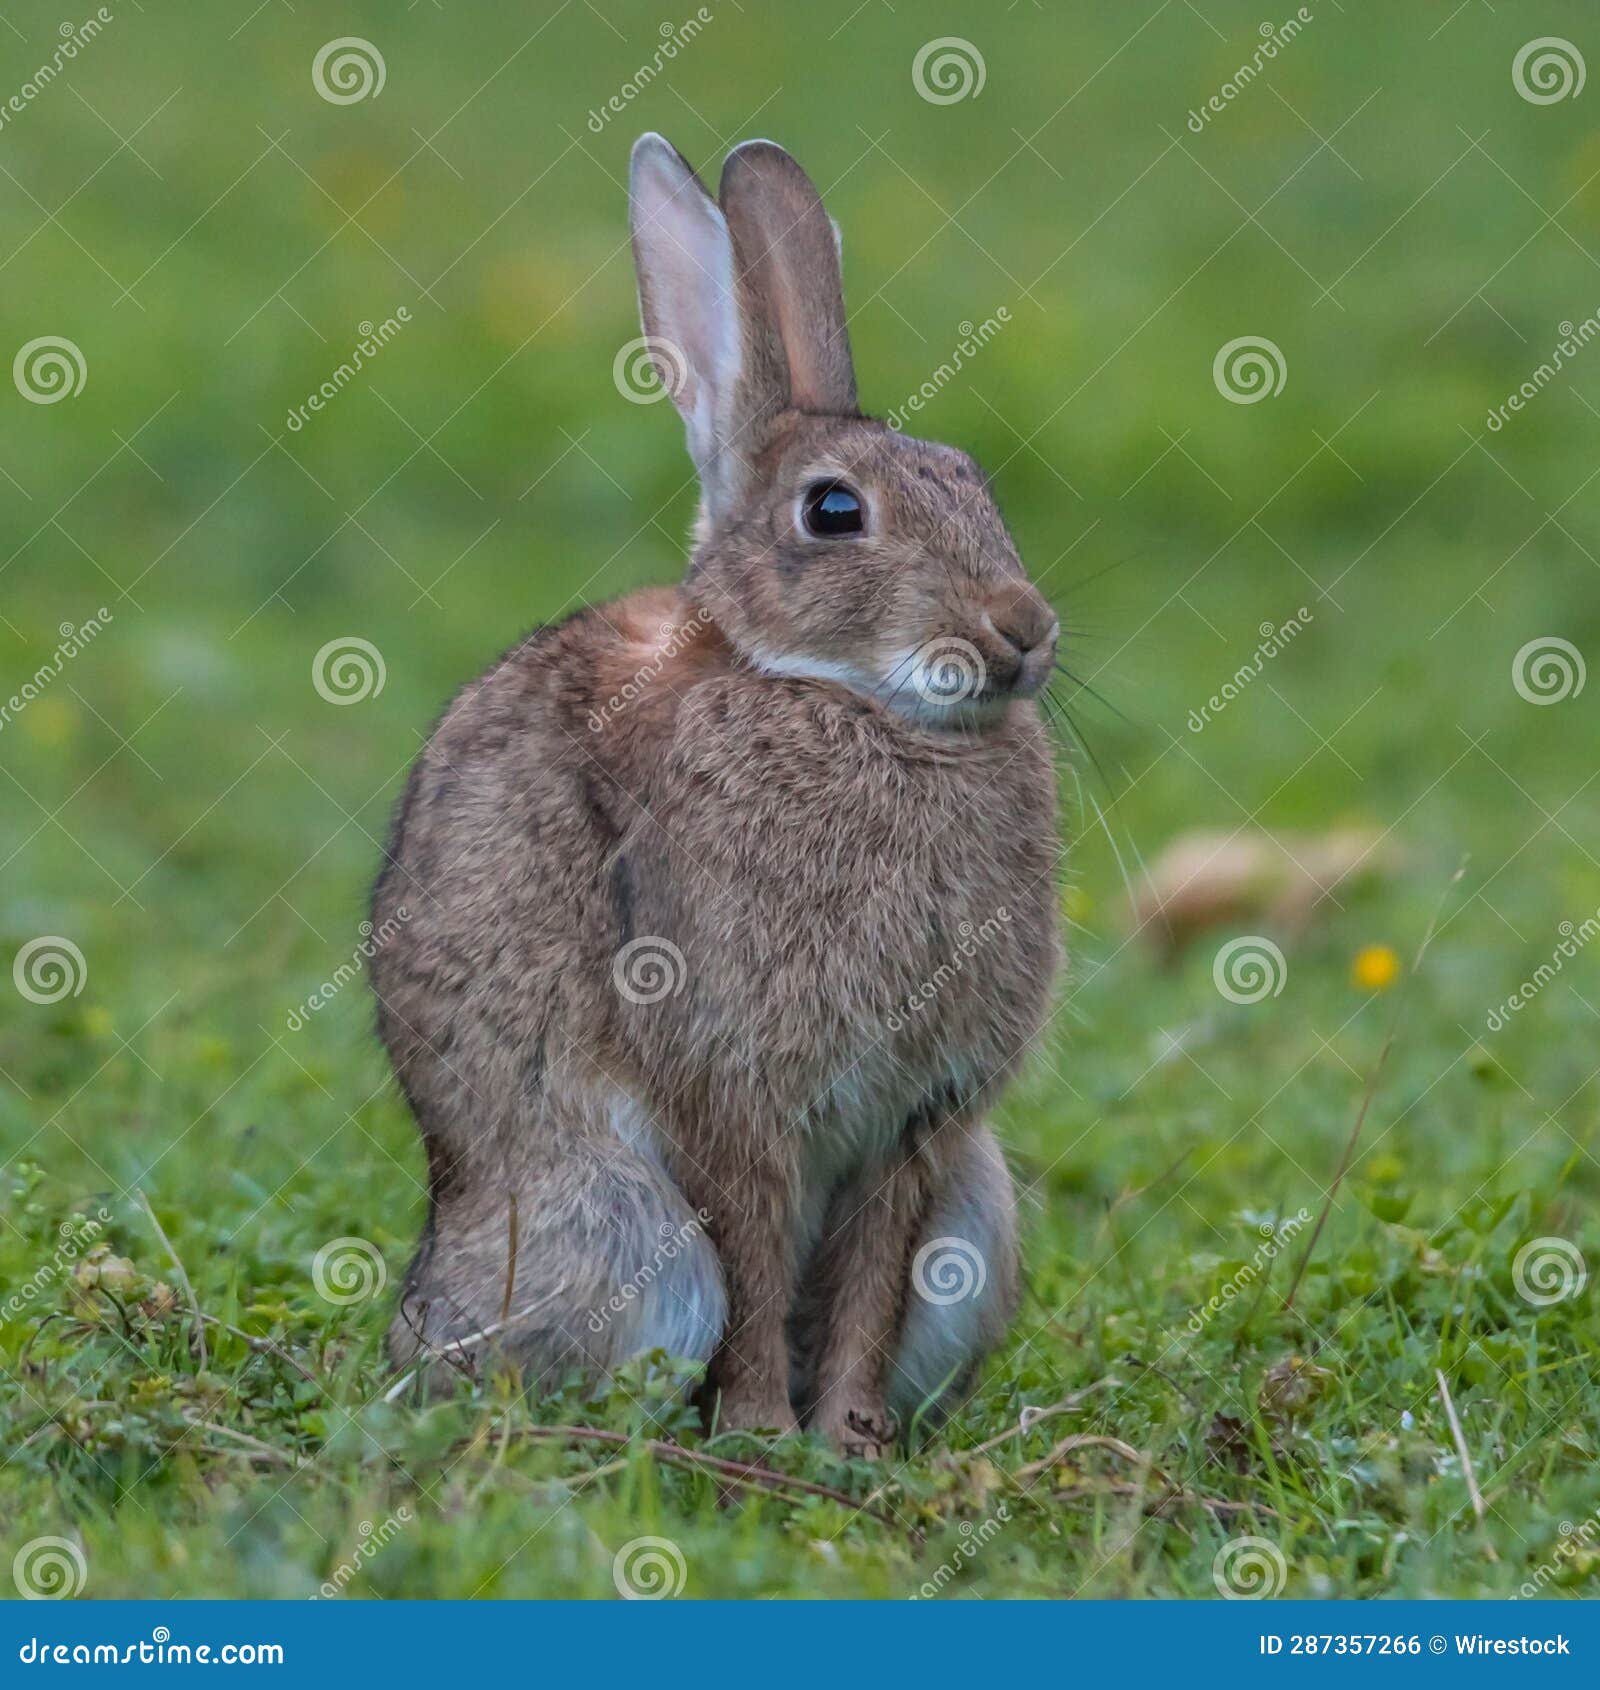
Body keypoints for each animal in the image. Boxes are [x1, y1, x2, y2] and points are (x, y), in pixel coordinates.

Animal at [370, 134, 1062, 1456]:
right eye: (834, 511)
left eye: (972, 479)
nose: (1024, 628)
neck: (841, 698)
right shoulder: (730, 1085)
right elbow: (753, 1253)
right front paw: (761, 1433)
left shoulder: (918, 1123)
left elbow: (867, 1285)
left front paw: (847, 1442)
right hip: (622, 1227)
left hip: (981, 1208)